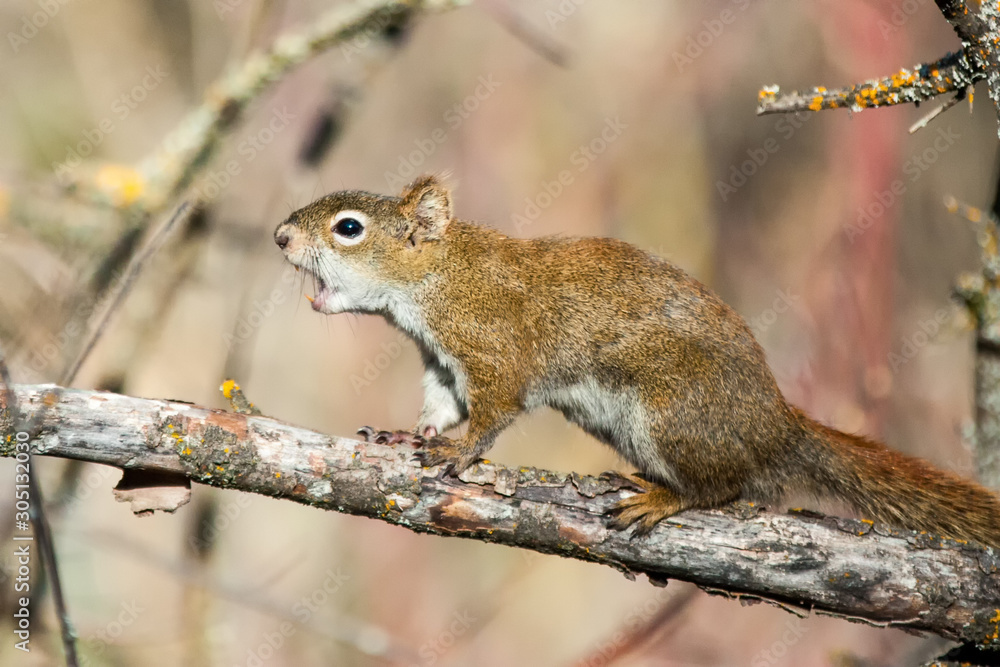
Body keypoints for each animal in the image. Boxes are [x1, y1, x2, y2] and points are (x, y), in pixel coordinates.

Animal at [274, 174, 1000, 545]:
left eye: (348, 228)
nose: (280, 236)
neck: (437, 277)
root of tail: (776, 426)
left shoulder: (495, 348)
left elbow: (493, 411)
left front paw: (457, 454)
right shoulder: (443, 362)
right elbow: (442, 406)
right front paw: (410, 434)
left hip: (670, 409)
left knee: (723, 487)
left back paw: (660, 497)